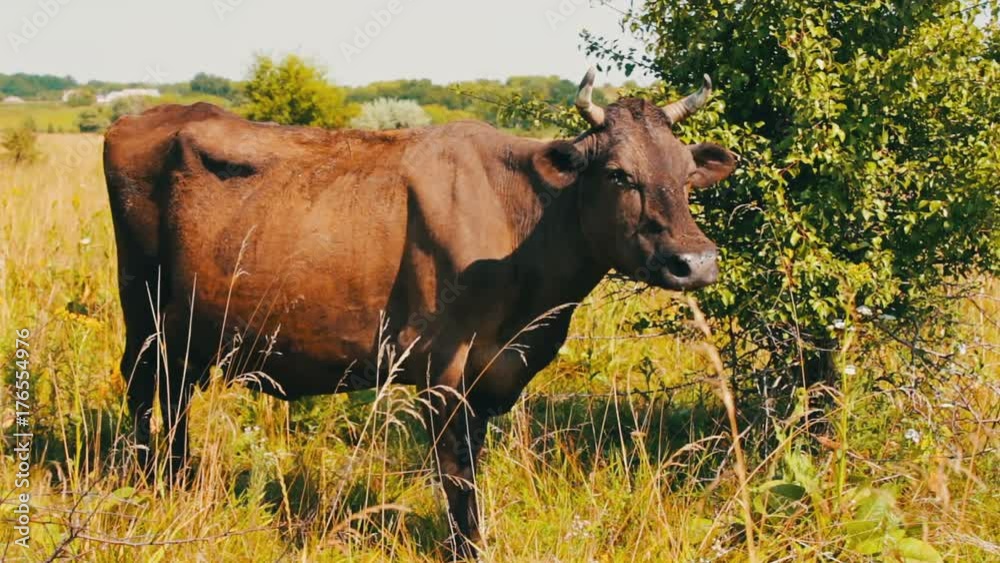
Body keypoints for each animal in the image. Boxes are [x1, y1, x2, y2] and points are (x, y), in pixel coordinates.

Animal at [103, 67, 736, 557]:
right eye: (619, 174)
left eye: (686, 175)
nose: (696, 261)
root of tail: (141, 117)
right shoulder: (440, 367)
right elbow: (457, 474)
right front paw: (467, 548)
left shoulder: (488, 375)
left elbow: (470, 466)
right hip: (142, 303)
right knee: (143, 384)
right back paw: (148, 478)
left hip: (189, 325)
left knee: (176, 389)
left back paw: (176, 478)